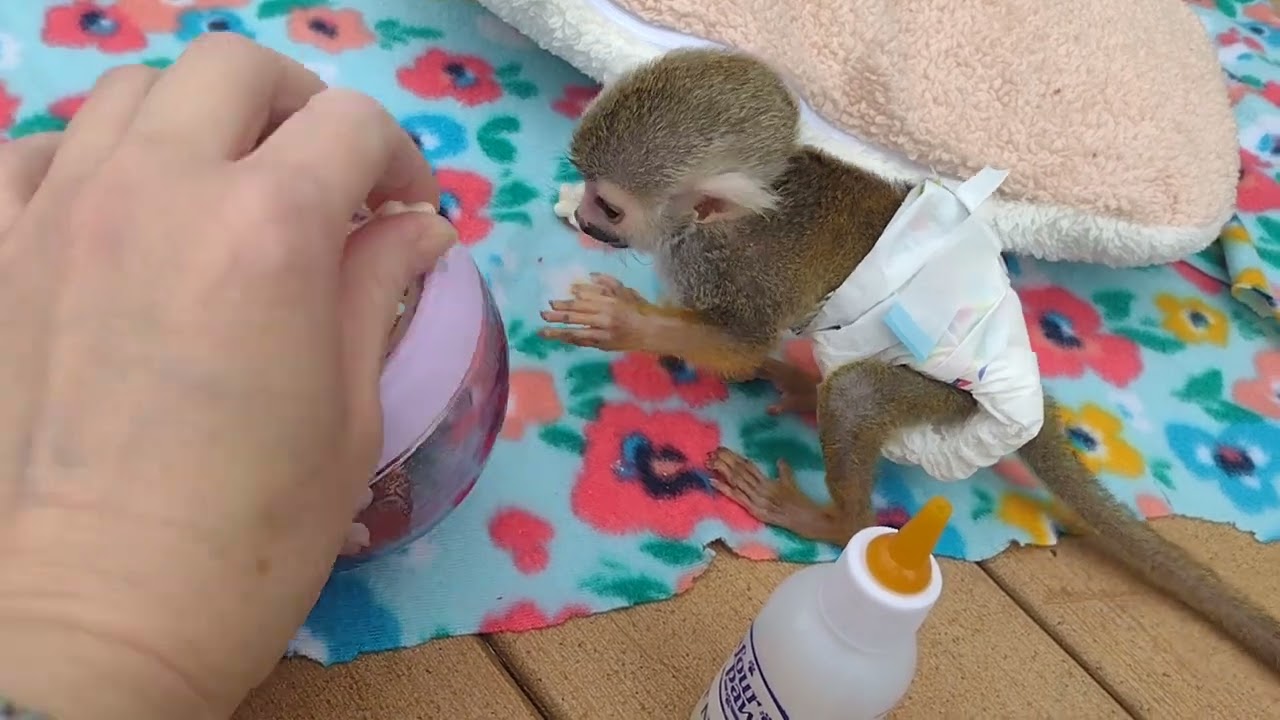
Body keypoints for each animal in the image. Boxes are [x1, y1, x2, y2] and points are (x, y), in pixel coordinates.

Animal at [536, 47, 1280, 673]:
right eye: (589, 191)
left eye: (611, 207)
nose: (589, 223)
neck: (717, 223)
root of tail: (1026, 386)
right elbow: (740, 347)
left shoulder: (732, 267)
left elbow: (740, 341)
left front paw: (629, 322)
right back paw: (800, 380)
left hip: (946, 397)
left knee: (857, 398)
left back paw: (832, 517)